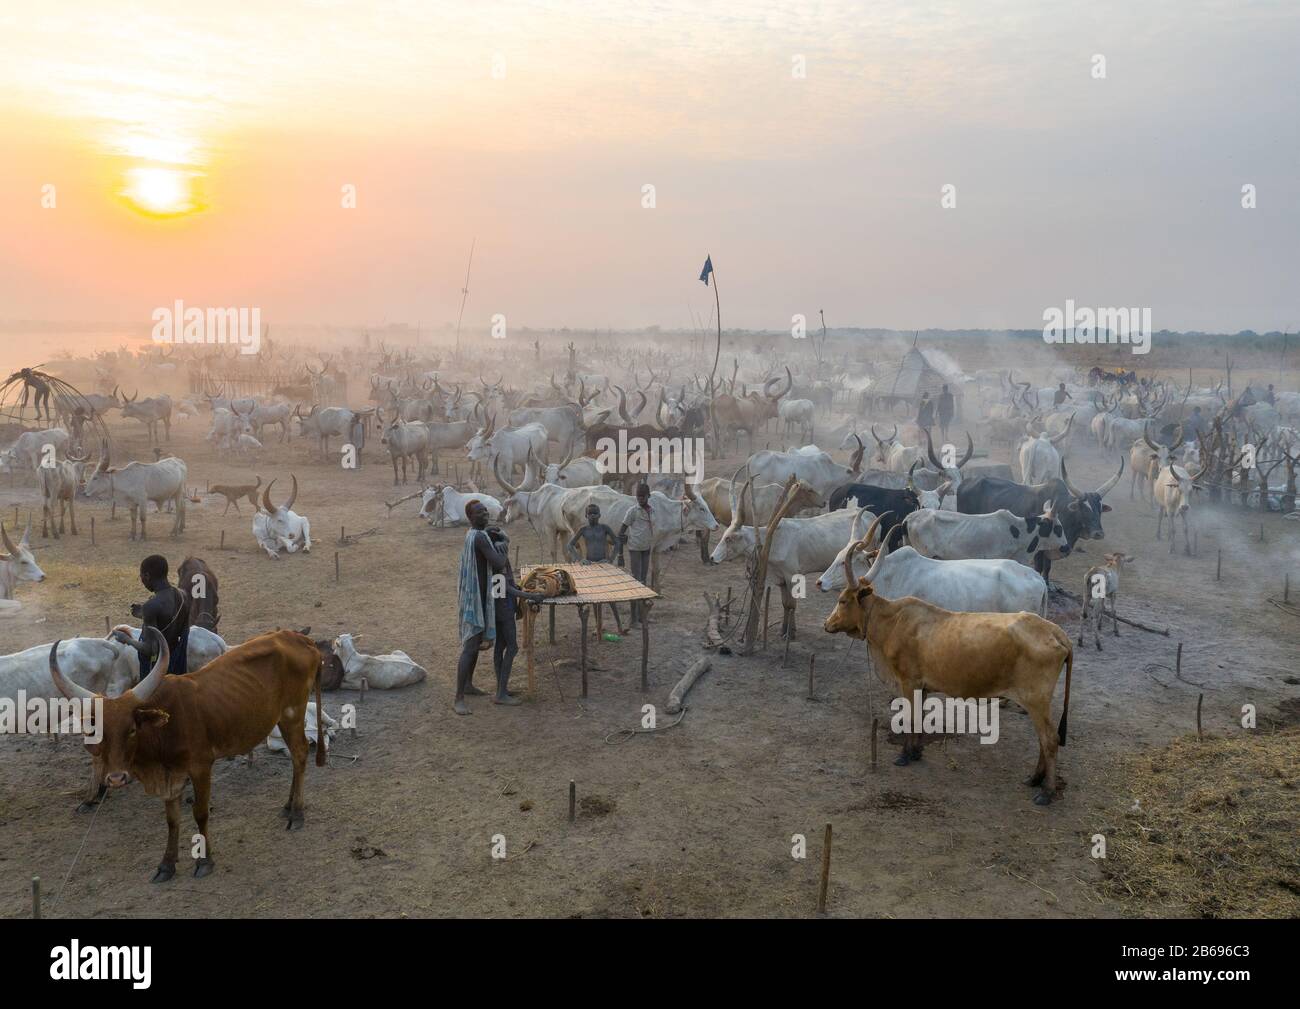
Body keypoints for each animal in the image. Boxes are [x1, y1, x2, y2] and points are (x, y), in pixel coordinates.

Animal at [49, 628, 326, 881]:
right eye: (100, 731)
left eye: (132, 729)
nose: (116, 778)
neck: (164, 729)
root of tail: (301, 638)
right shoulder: (170, 776)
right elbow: (172, 820)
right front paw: (166, 865)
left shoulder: (201, 768)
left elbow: (200, 813)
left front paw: (204, 861)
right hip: (282, 718)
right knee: (295, 758)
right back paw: (288, 806)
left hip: (292, 714)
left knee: (300, 753)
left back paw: (297, 813)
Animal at [823, 543, 1072, 804]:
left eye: (842, 601)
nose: (827, 623)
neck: (892, 621)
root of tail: (1054, 631)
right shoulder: (922, 687)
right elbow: (921, 717)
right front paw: (916, 752)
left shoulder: (908, 682)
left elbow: (911, 718)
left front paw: (904, 755)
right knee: (1044, 739)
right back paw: (1034, 779)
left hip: (1036, 700)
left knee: (1050, 739)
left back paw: (1046, 791)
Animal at [956, 457, 1123, 585]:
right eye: (1083, 508)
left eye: (1099, 509)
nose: (1098, 533)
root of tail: (966, 482)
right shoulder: (1038, 547)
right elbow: (1039, 566)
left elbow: (1047, 567)